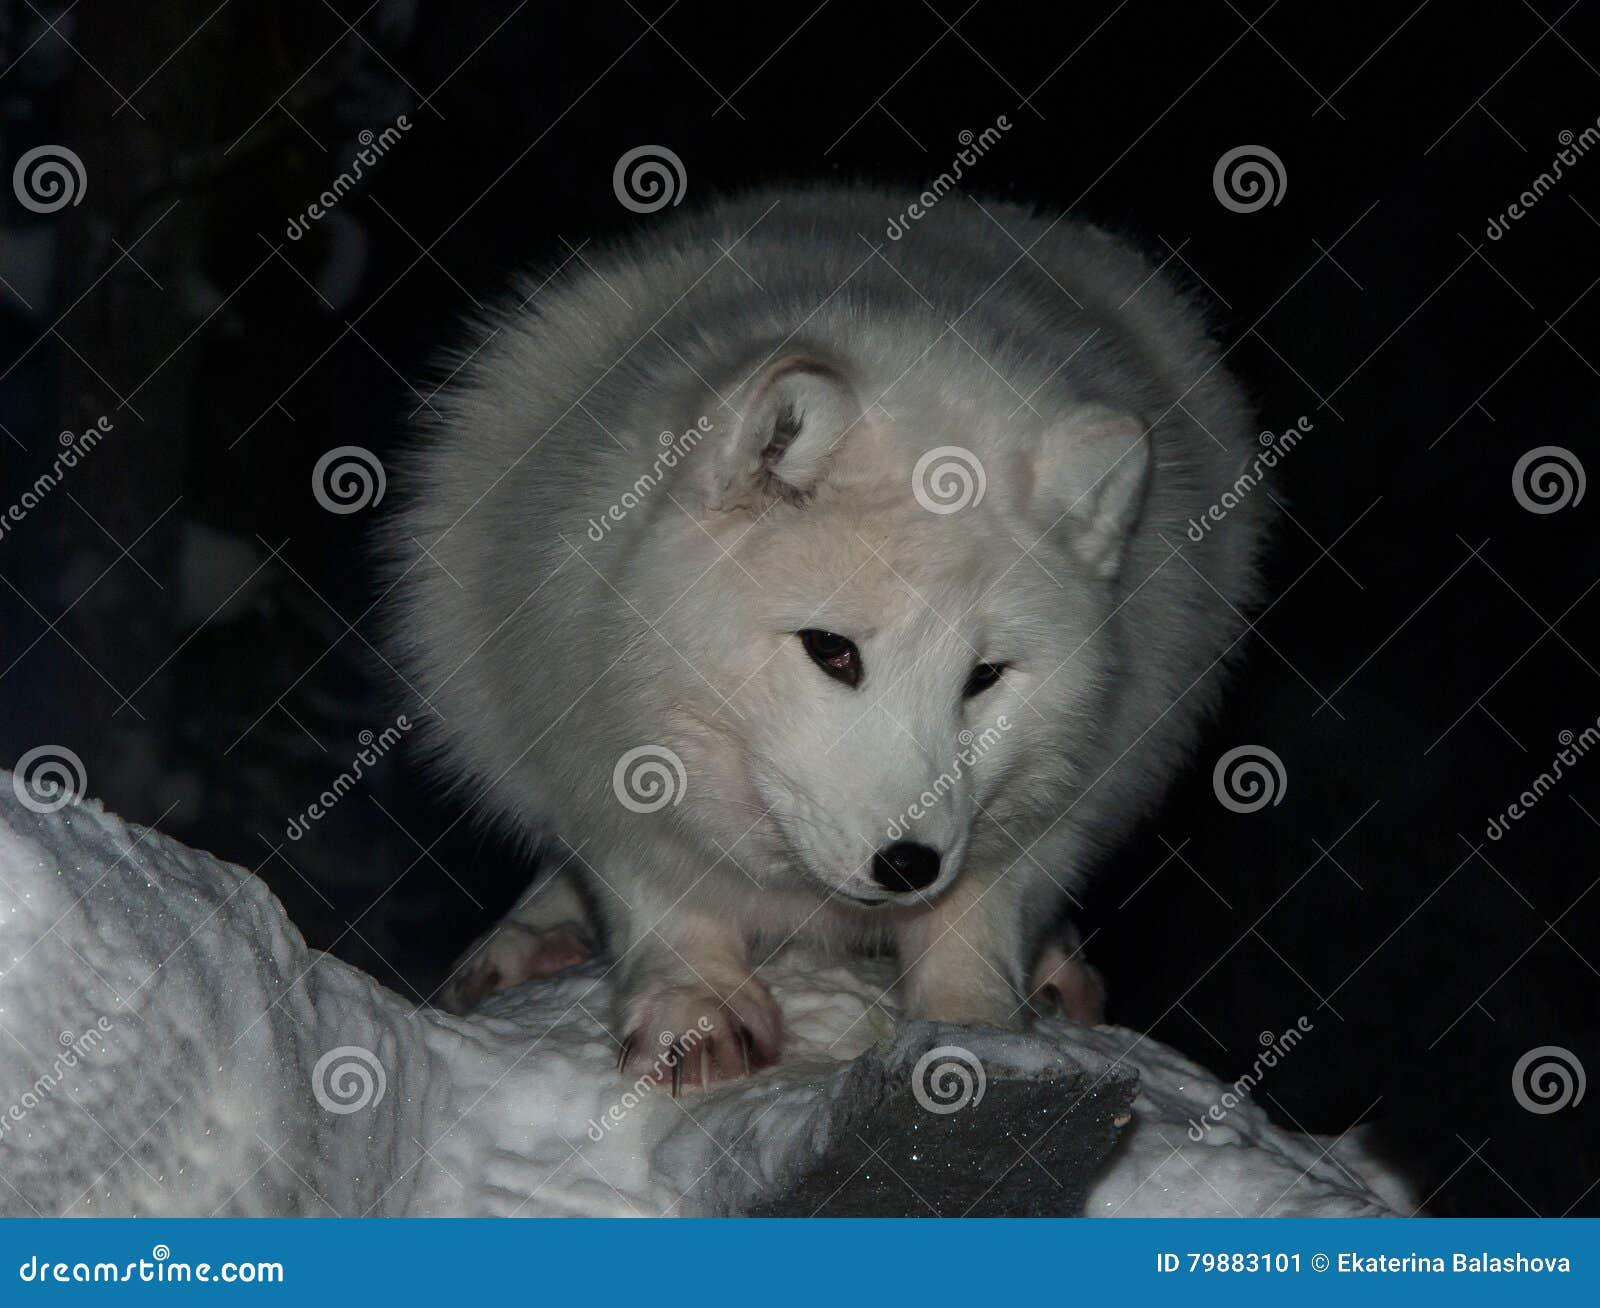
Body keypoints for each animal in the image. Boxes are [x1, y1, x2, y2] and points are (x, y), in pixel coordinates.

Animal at [384, 184, 1269, 1087]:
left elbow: (981, 916)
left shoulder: (1066, 793)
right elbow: (654, 886)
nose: (910, 865)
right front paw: (694, 1001)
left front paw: (977, 1033)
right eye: (831, 650)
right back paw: (533, 934)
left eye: (984, 676)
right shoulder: (583, 729)